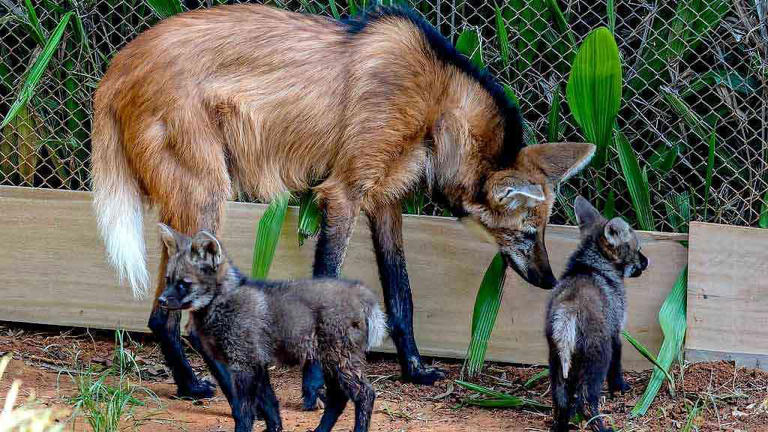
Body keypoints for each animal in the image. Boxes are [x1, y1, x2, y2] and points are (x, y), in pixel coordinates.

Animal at [91, 3, 595, 404]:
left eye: (541, 232)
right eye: (527, 233)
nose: (550, 280)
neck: (436, 105)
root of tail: (118, 65)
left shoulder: (386, 199)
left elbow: (401, 293)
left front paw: (414, 370)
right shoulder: (343, 193)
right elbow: (328, 281)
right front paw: (315, 388)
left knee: (161, 314)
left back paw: (190, 384)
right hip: (207, 196)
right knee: (180, 314)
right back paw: (214, 387)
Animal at [156, 224, 386, 432]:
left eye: (183, 283)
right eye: (168, 280)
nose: (160, 300)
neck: (221, 302)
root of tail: (361, 291)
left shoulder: (244, 364)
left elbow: (244, 412)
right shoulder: (257, 364)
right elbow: (270, 407)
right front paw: (273, 428)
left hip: (339, 360)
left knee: (365, 394)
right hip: (328, 361)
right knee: (339, 398)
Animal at [545, 197, 648, 432]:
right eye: (637, 249)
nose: (647, 262)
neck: (591, 267)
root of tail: (568, 309)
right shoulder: (616, 332)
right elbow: (617, 365)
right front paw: (620, 388)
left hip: (557, 360)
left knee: (561, 400)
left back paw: (562, 427)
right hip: (598, 357)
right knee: (585, 398)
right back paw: (602, 426)